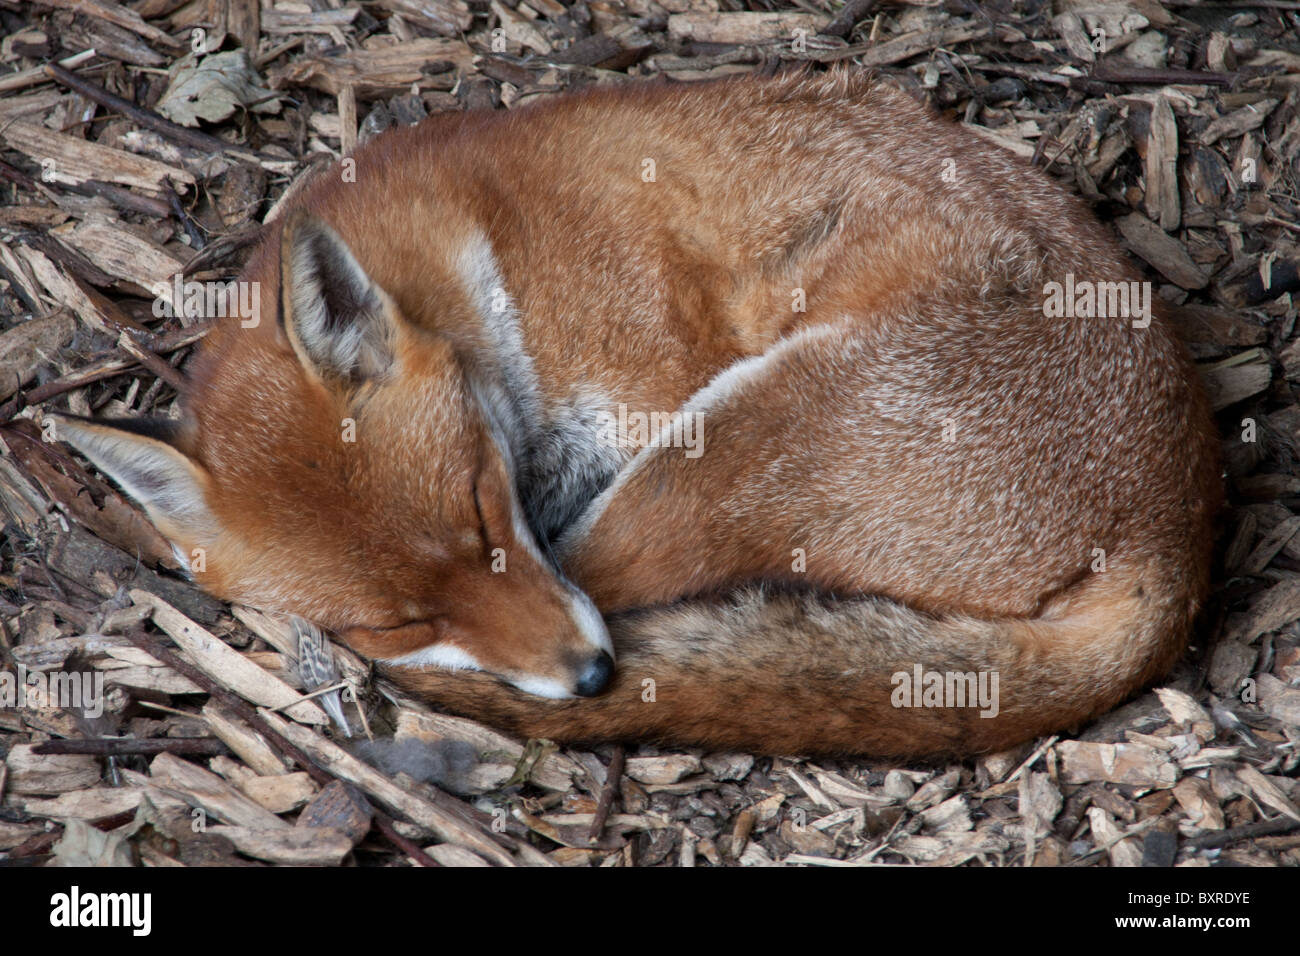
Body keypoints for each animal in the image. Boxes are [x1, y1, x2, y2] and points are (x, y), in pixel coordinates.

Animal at [47, 69, 1221, 757]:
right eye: (395, 621)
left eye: (489, 514)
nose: (591, 675)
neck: (485, 274)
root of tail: (1181, 531)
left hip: (722, 445)